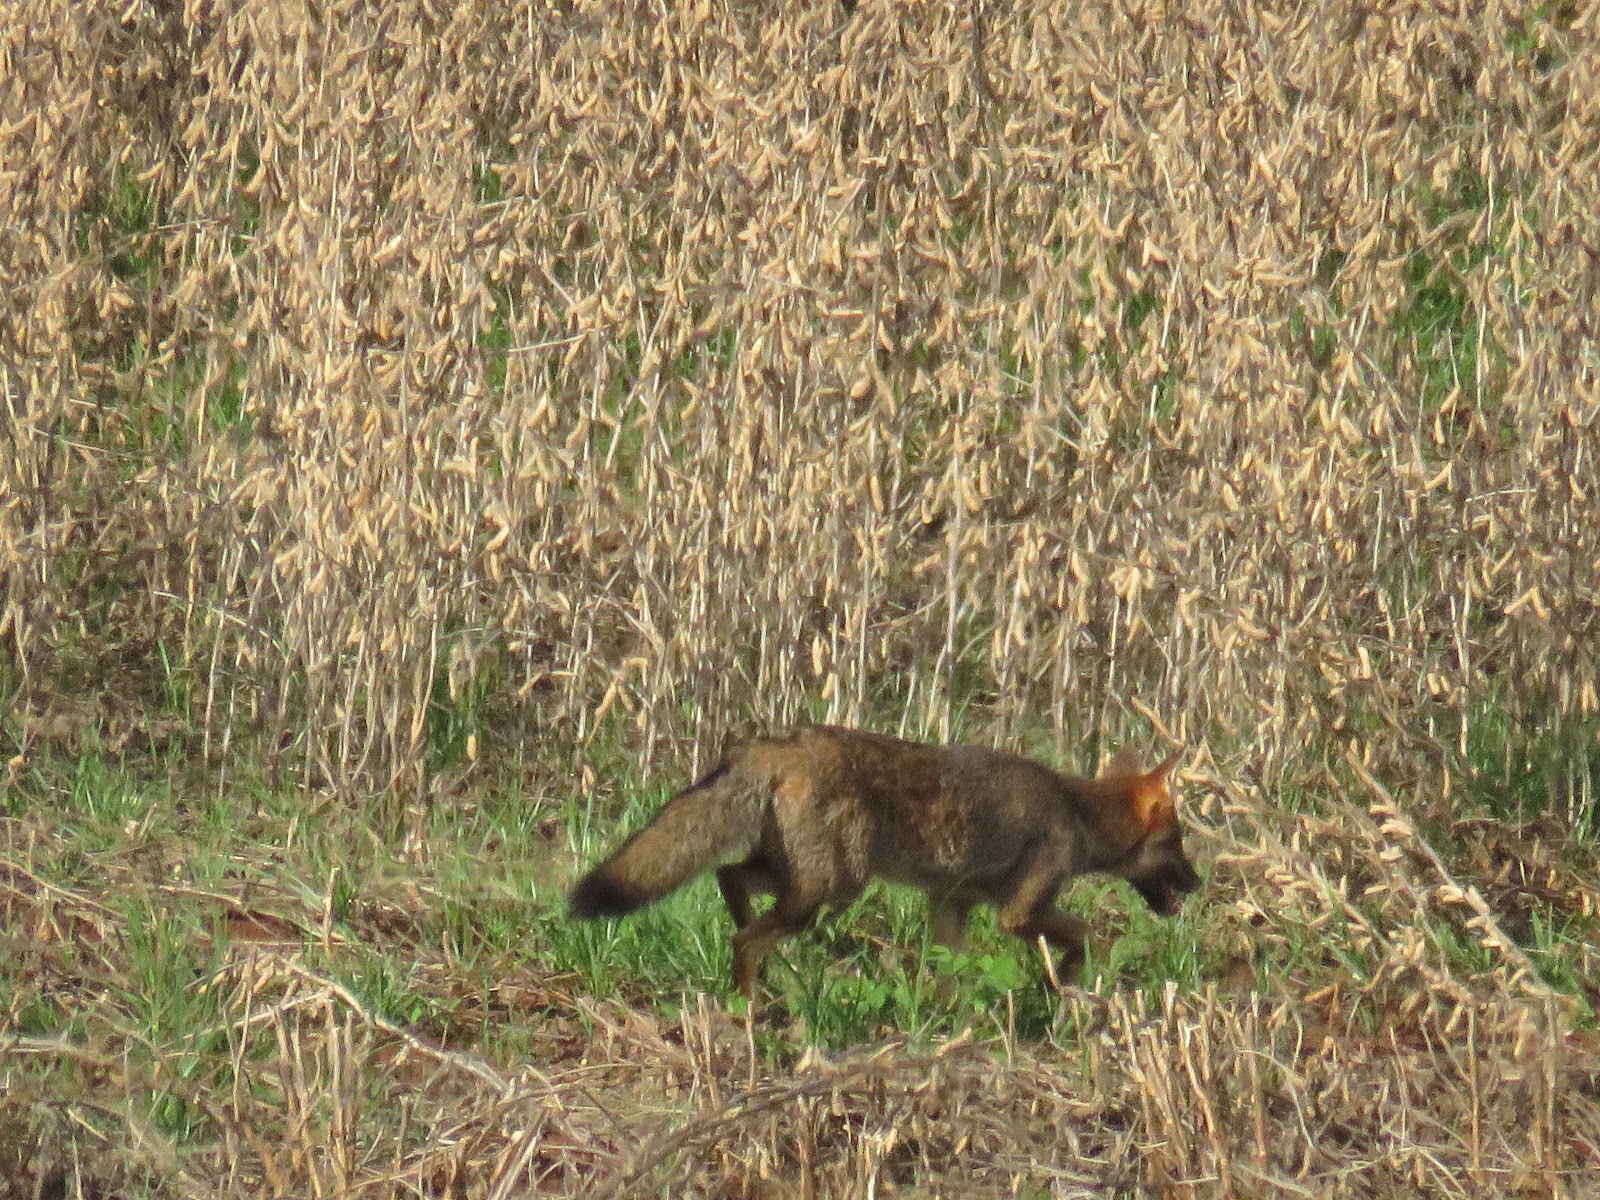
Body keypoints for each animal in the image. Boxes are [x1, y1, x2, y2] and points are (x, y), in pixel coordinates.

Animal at [569, 725, 1201, 999]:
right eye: (1179, 844)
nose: (1199, 884)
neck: (1076, 810)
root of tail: (777, 746)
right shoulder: (1018, 913)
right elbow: (1088, 934)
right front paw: (1063, 982)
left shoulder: (951, 905)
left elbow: (951, 975)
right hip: (833, 889)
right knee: (744, 938)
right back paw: (750, 1006)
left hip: (806, 882)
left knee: (730, 883)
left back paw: (759, 973)